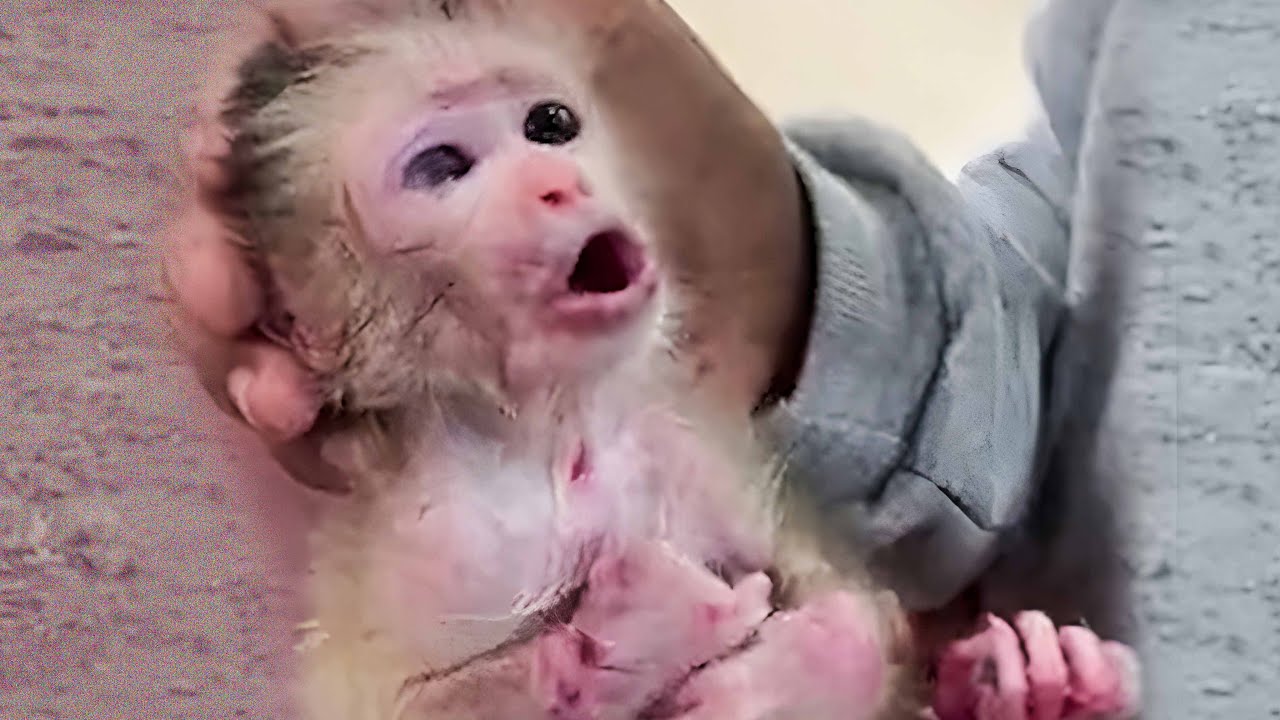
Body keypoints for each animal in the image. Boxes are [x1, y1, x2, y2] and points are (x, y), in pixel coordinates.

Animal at [194, 3, 1142, 718]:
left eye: (549, 125)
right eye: (441, 166)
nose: (560, 186)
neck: (553, 434)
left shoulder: (687, 446)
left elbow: (853, 622)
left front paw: (789, 668)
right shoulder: (430, 540)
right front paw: (632, 647)